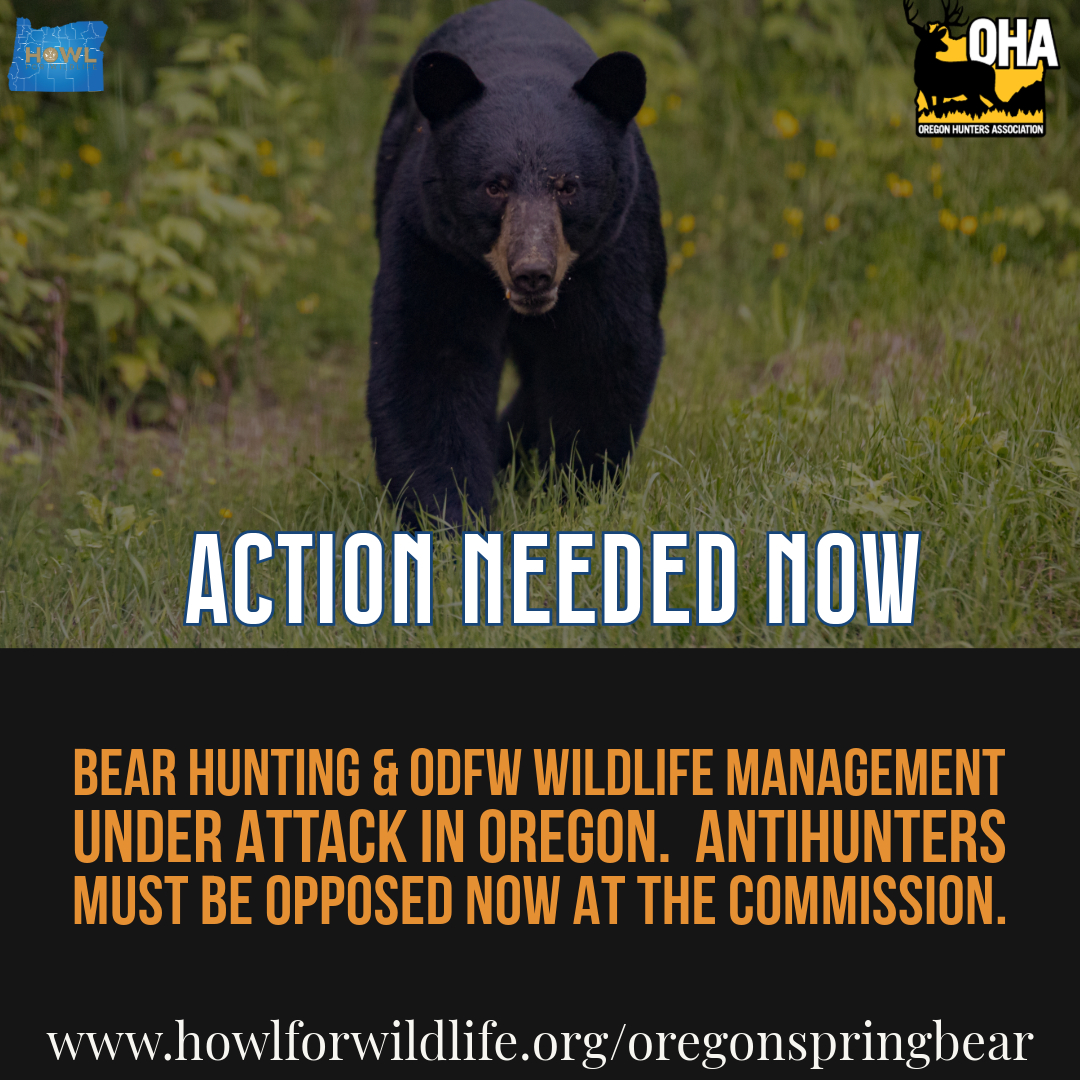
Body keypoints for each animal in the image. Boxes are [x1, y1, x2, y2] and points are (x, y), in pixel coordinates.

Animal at [368, 0, 666, 527]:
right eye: (494, 185)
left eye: (568, 186)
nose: (533, 272)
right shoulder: (434, 241)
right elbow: (429, 359)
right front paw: (451, 516)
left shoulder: (612, 247)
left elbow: (599, 352)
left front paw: (574, 495)